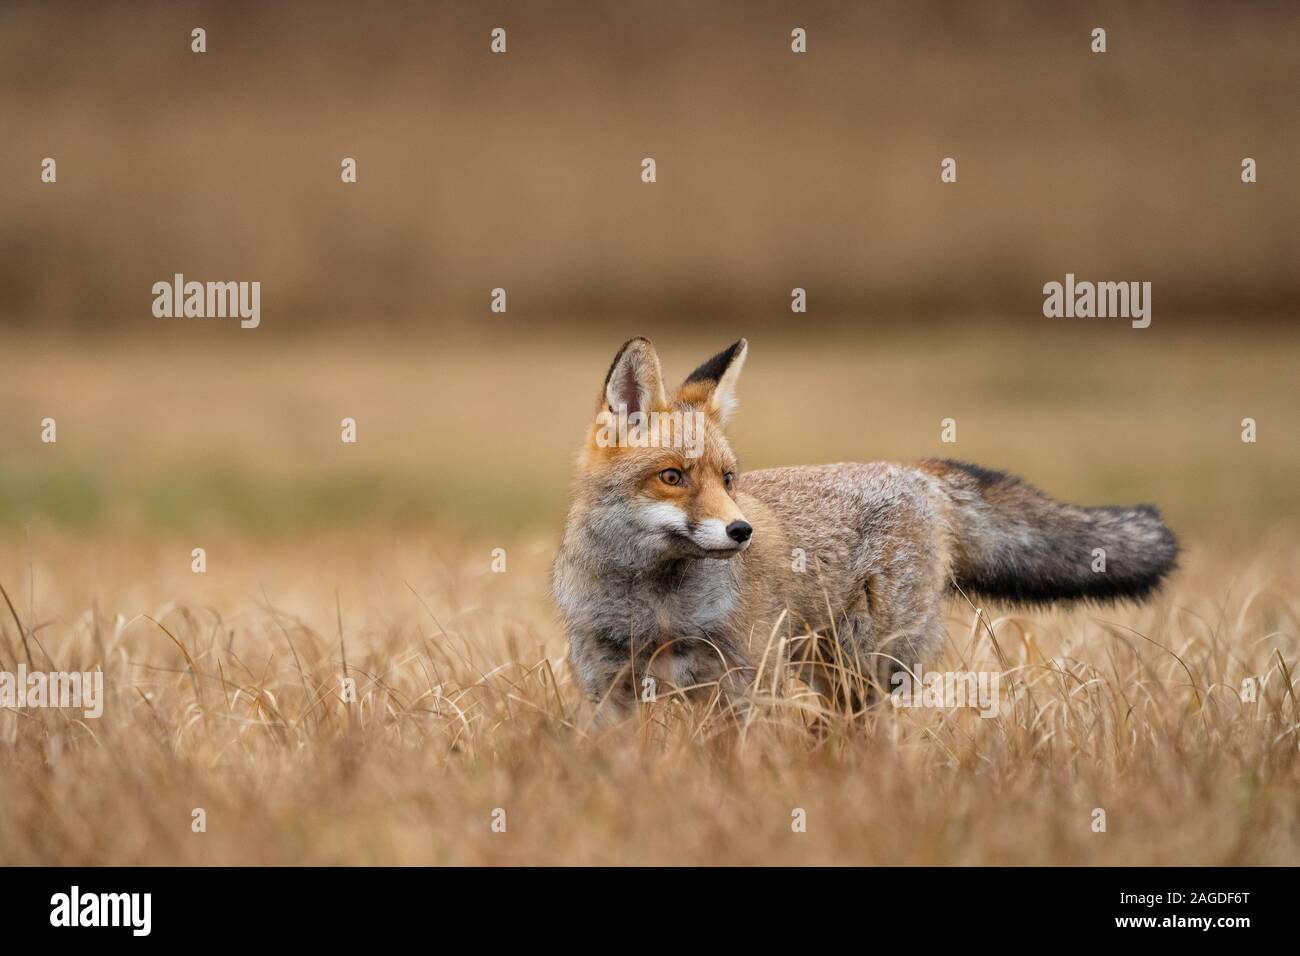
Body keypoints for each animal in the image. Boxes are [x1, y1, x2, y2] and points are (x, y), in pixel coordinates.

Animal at [552, 337, 1179, 721]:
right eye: (673, 477)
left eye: (728, 478)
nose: (741, 531)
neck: (654, 608)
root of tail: (914, 470)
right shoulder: (608, 692)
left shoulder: (744, 686)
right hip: (826, 666)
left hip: (864, 663)